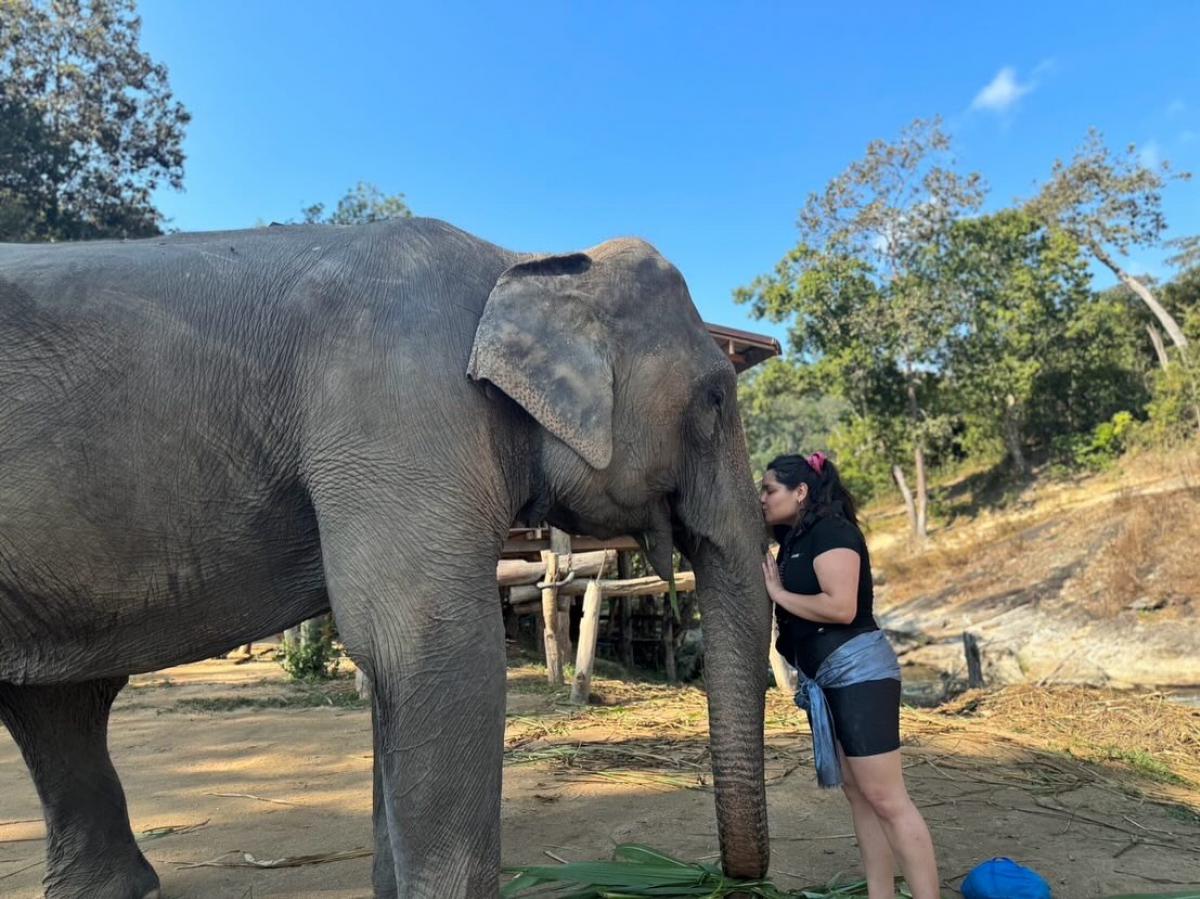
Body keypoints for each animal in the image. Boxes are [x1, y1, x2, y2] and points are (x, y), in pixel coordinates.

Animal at [0, 218, 772, 898]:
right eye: (715, 398)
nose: (733, 878)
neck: (518, 258)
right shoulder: (400, 410)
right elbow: (430, 648)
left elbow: (397, 671)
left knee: (59, 702)